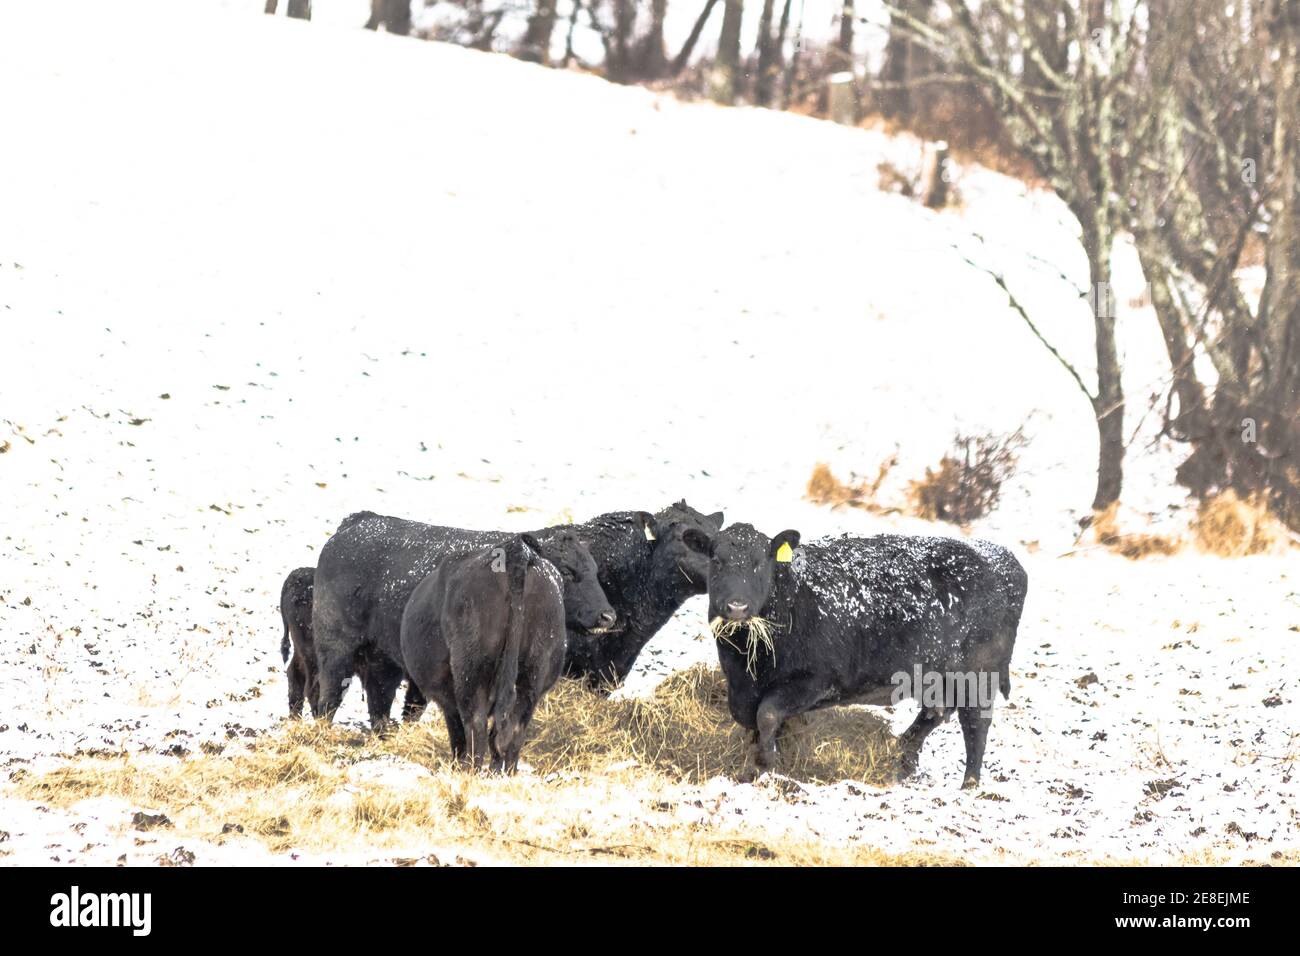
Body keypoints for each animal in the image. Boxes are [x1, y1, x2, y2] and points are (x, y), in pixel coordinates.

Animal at [312, 512, 615, 729]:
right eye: (567, 571)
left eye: (594, 570)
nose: (608, 615)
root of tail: (358, 522)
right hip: (336, 647)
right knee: (329, 697)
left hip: (383, 658)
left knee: (380, 702)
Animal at [401, 534, 565, 771]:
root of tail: (516, 549)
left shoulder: (448, 700)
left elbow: (458, 735)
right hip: (535, 667)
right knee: (514, 729)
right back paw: (505, 772)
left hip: (471, 669)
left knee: (475, 724)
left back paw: (470, 770)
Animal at [703, 524, 1027, 788]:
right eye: (716, 561)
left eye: (759, 564)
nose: (736, 606)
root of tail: (997, 555)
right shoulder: (743, 689)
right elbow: (755, 718)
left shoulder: (815, 680)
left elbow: (767, 714)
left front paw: (764, 763)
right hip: (938, 676)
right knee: (934, 712)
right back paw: (903, 758)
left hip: (978, 676)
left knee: (975, 724)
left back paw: (968, 785)